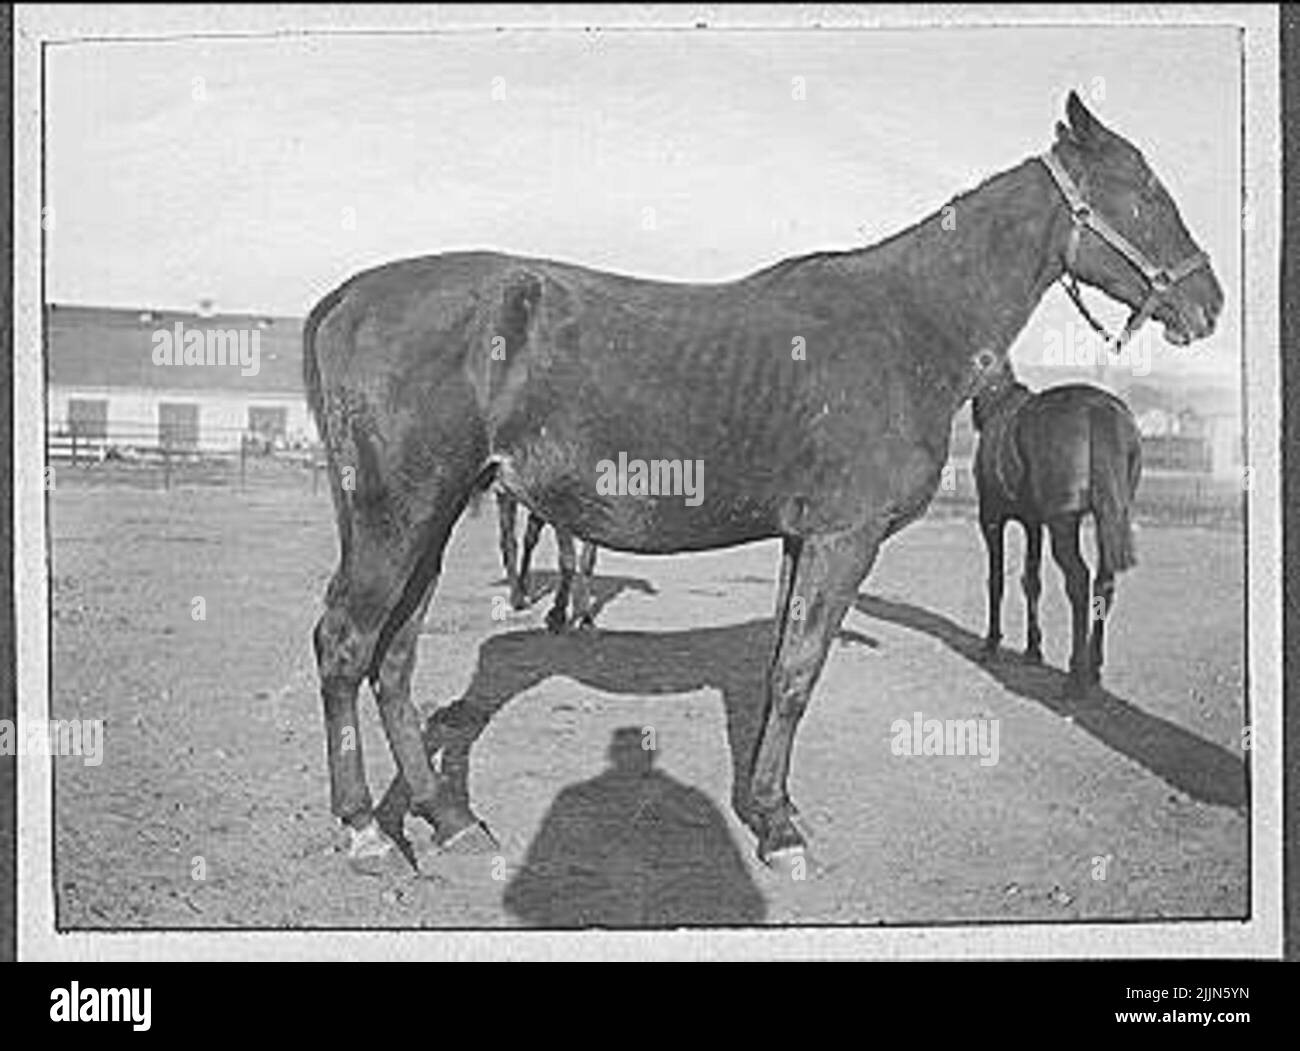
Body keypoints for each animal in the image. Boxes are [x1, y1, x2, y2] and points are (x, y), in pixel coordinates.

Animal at [495, 485, 600, 632]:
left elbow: (587, 562)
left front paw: (587, 619)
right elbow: (568, 560)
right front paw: (557, 616)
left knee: (530, 535)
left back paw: (522, 588)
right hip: (506, 494)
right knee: (509, 540)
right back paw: (517, 599)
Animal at [971, 363, 1143, 694]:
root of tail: (1099, 409)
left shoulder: (991, 518)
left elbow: (996, 580)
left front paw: (991, 643)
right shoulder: (1034, 523)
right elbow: (1032, 581)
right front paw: (1033, 650)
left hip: (1063, 522)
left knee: (1079, 580)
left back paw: (1076, 677)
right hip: (1104, 520)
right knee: (1103, 584)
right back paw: (1094, 669)